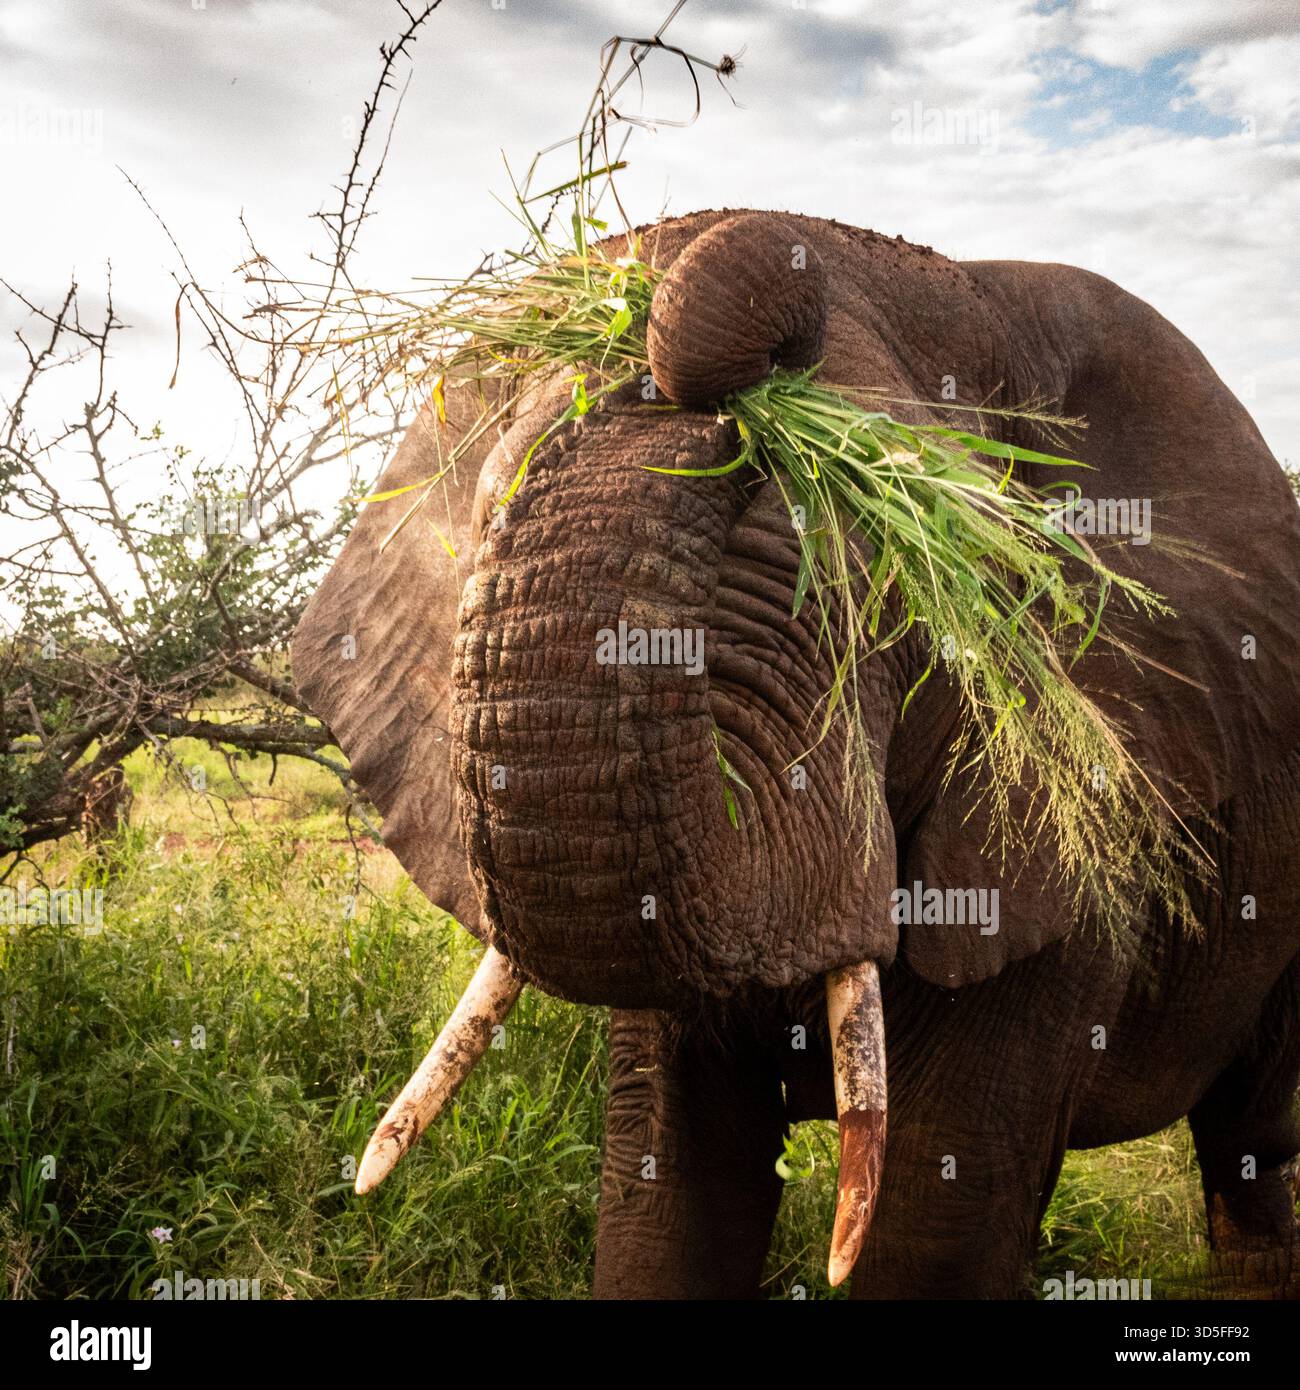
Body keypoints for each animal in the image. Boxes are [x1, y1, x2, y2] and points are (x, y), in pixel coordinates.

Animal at [291, 209, 1300, 1299]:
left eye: (899, 583)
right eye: (481, 512)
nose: (636, 303)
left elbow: (934, 1226)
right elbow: (664, 1197)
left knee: (1251, 1140)